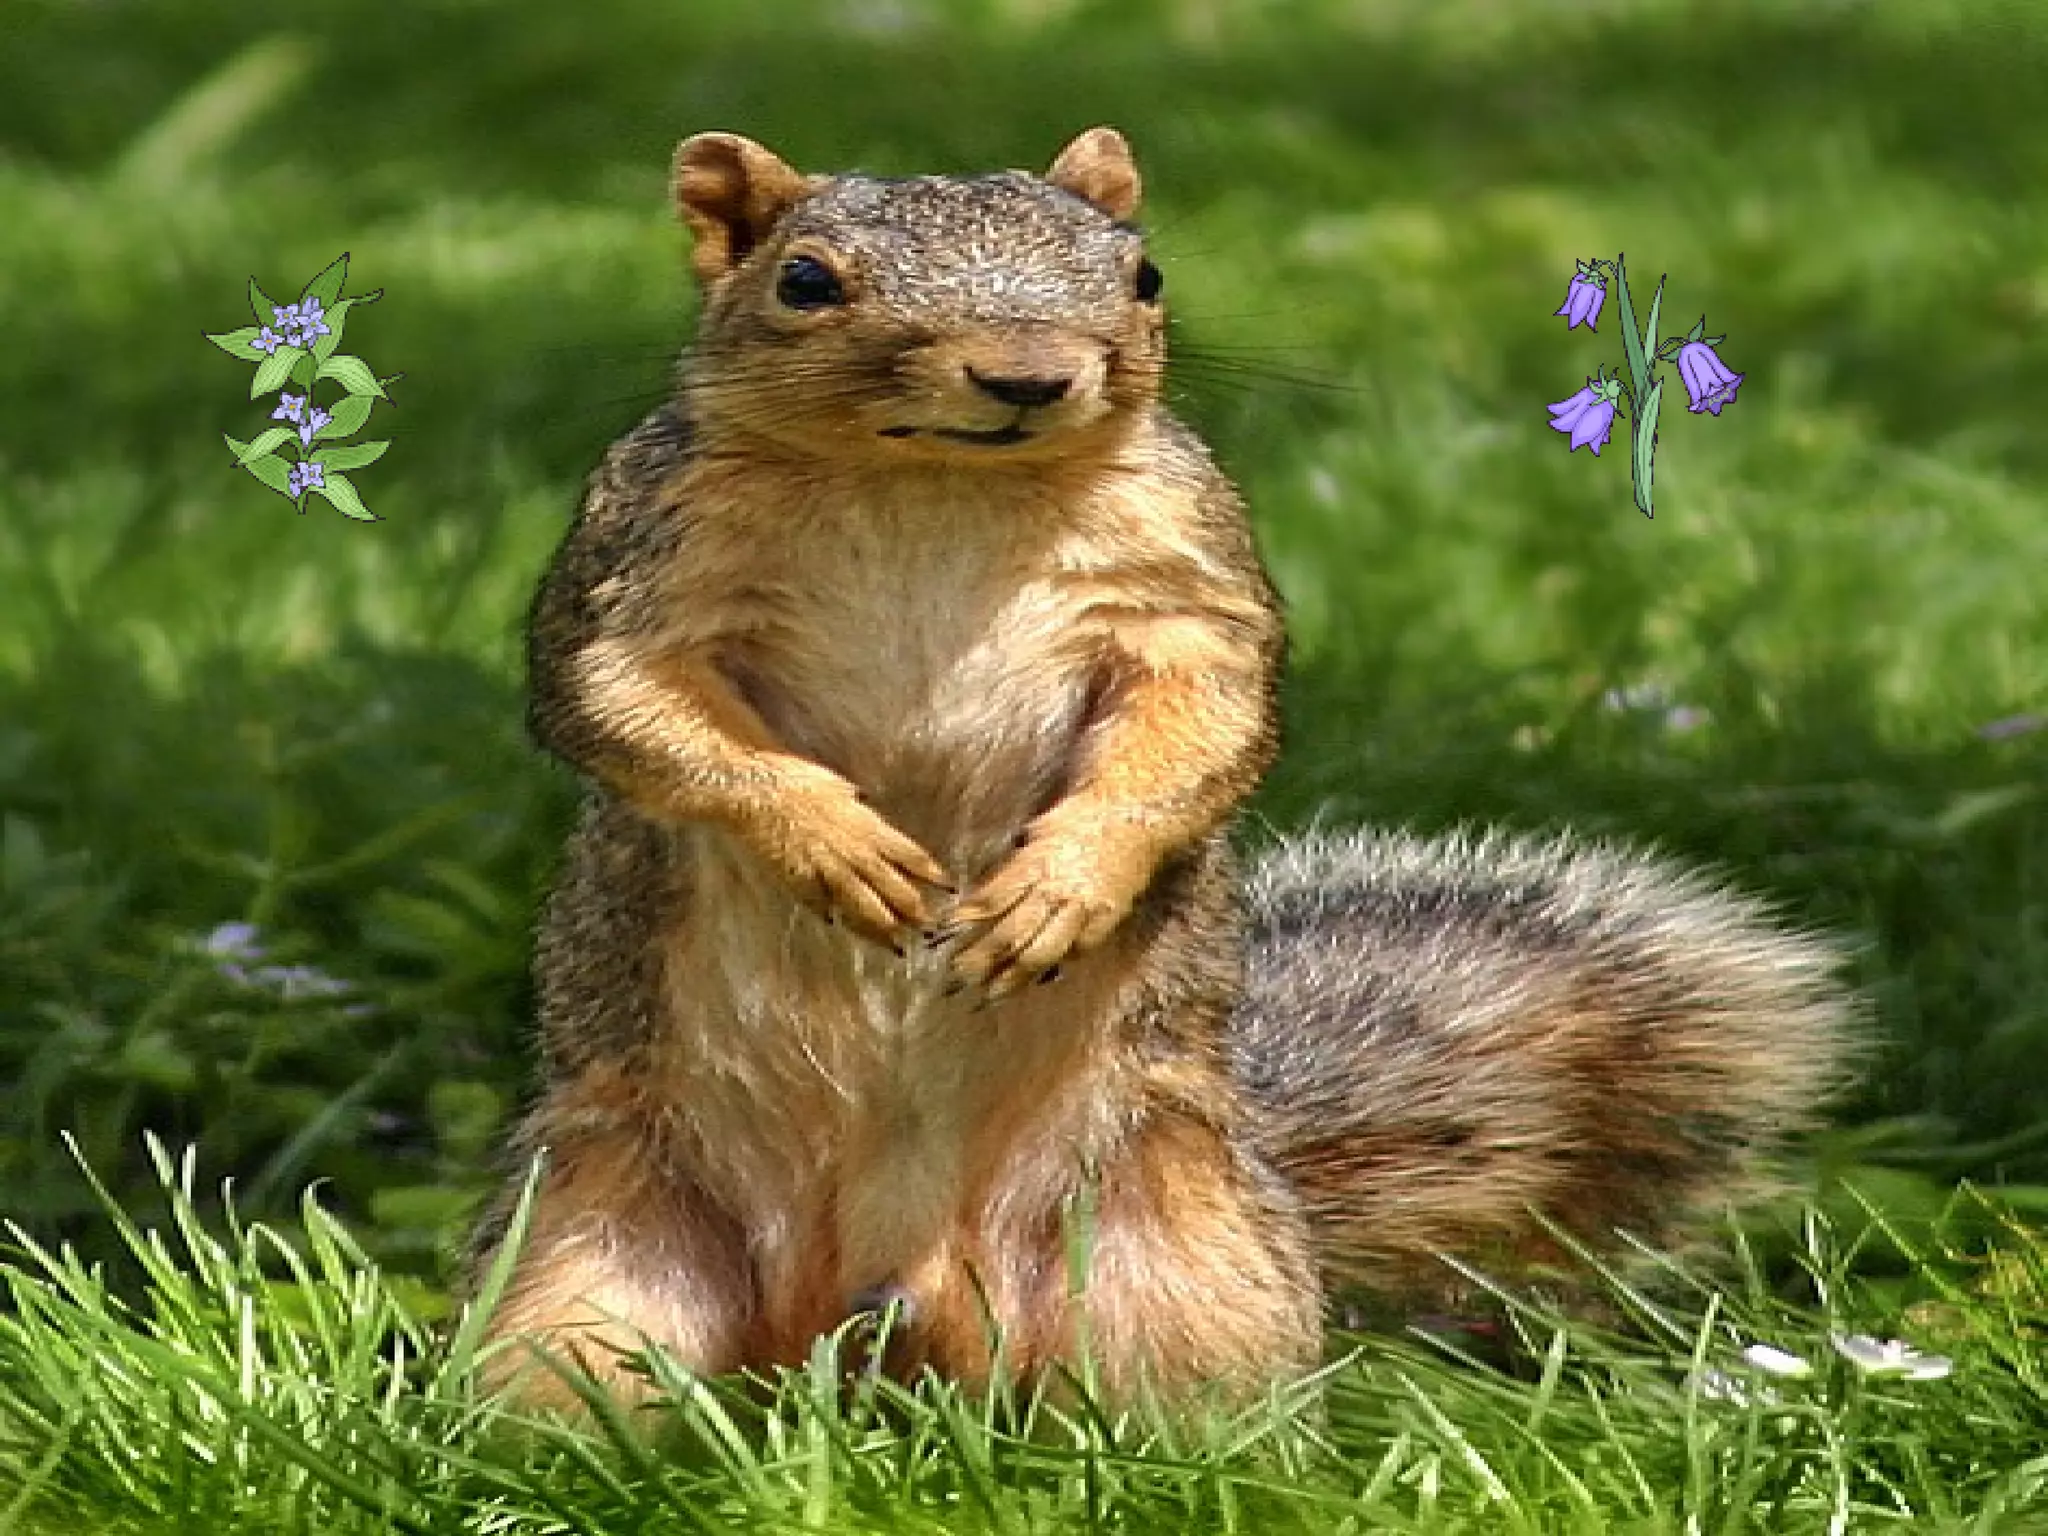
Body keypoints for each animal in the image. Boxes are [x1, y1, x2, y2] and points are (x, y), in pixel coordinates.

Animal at [468, 126, 1858, 1413]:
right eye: (803, 281)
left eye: (1141, 273)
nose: (1026, 377)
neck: (929, 482)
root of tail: (878, 1327)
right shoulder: (637, 565)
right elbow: (626, 701)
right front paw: (831, 842)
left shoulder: (1182, 574)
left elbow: (1203, 715)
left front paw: (1061, 890)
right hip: (587, 1254)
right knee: (568, 1375)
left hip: (1177, 1246)